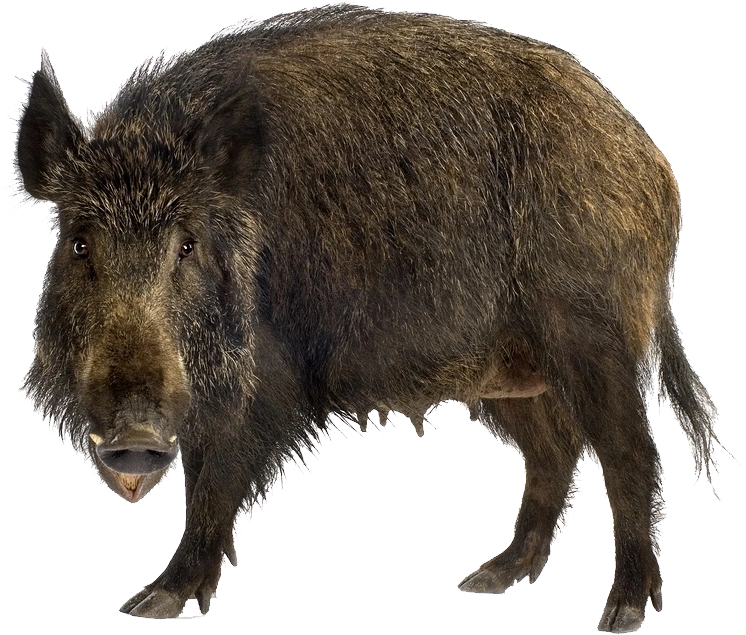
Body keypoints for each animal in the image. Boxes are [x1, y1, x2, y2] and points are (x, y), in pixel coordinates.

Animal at [19, 5, 714, 631]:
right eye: (79, 243)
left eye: (187, 245)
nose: (133, 438)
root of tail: (653, 166)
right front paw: (148, 603)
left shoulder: (260, 384)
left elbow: (213, 479)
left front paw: (153, 605)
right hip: (507, 368)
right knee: (554, 449)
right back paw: (488, 578)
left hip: (590, 333)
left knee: (630, 452)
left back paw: (621, 612)